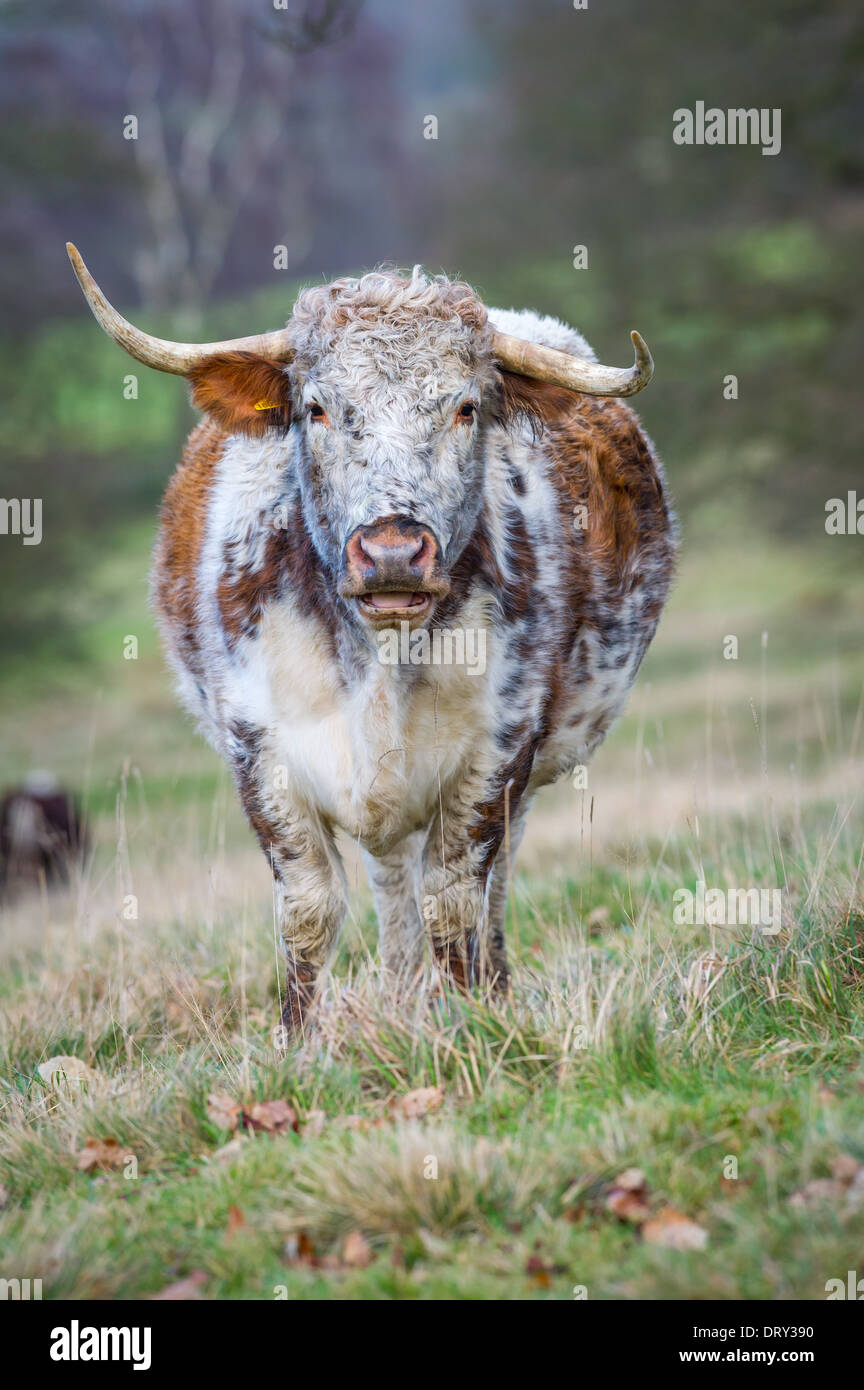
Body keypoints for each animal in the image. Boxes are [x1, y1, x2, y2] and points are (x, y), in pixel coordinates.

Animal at [67, 245, 677, 1038]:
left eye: (465, 407)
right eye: (317, 408)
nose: (392, 552)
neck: (380, 662)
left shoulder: (499, 752)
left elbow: (455, 903)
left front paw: (473, 1024)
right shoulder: (259, 753)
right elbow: (310, 911)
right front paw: (296, 1043)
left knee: (481, 887)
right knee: (392, 887)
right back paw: (399, 998)